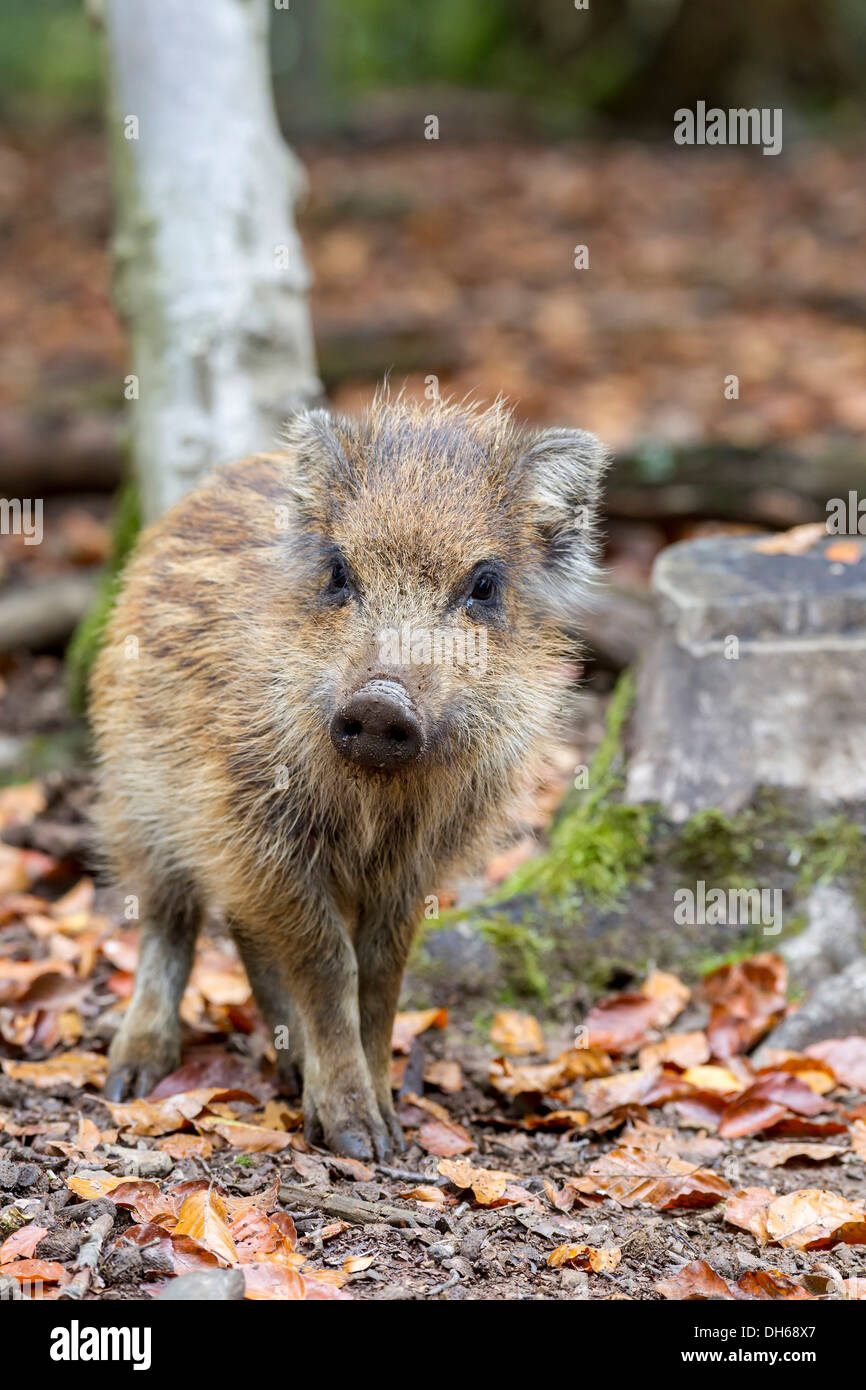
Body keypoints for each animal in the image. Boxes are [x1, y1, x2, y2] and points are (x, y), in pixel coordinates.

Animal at [90, 393, 606, 1159]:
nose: (380, 701)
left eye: (484, 584)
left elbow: (383, 974)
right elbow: (329, 963)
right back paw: (130, 1079)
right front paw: (358, 1139)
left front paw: (390, 1131)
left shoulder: (417, 861)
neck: (375, 799)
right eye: (338, 572)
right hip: (135, 797)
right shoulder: (254, 826)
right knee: (168, 921)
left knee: (241, 928)